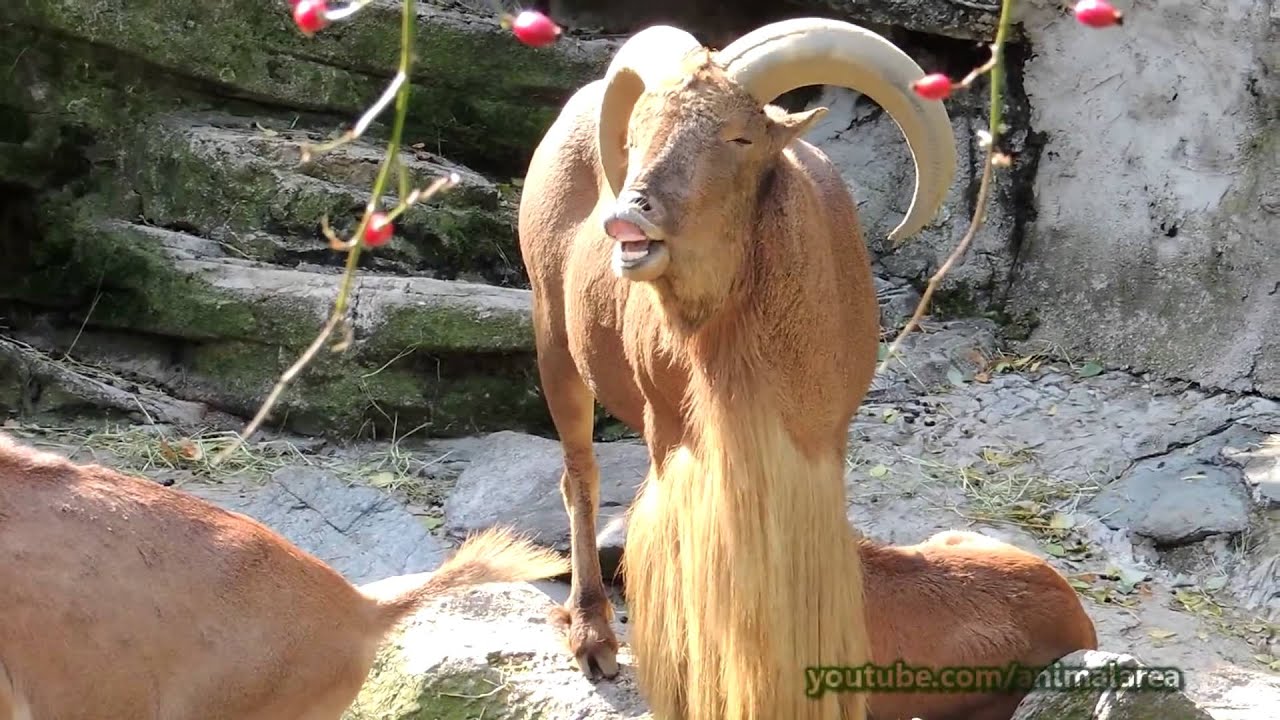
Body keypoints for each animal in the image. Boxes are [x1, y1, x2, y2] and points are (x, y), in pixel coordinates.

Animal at [517, 16, 956, 720]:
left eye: (740, 136)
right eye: (636, 135)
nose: (626, 216)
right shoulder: (677, 439)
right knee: (578, 476)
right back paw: (593, 637)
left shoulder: (818, 446)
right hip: (553, 338)